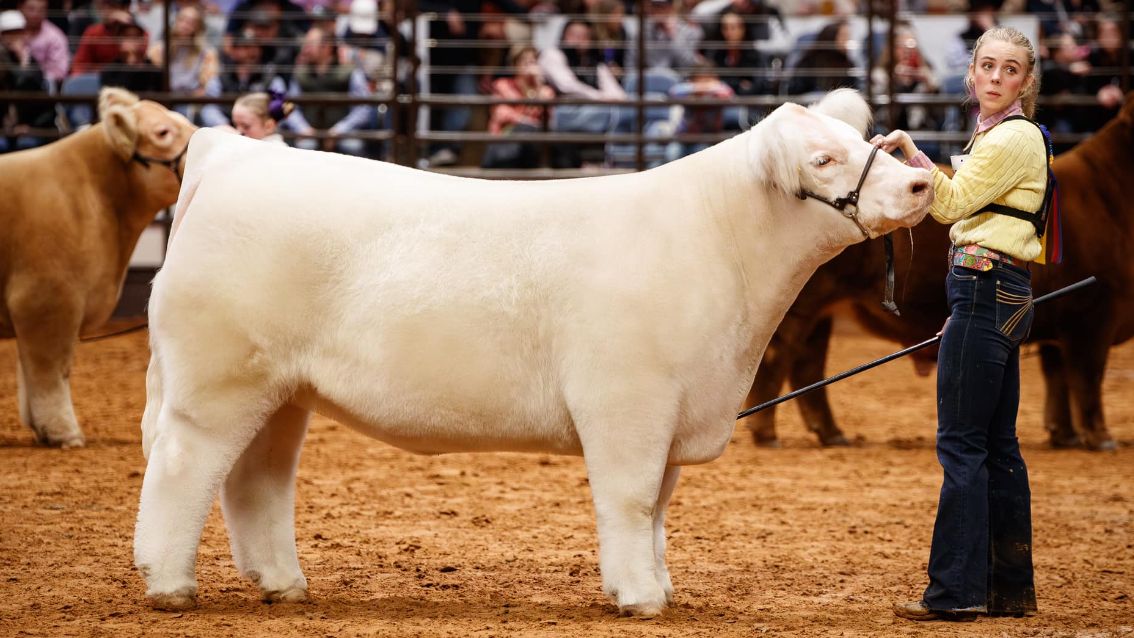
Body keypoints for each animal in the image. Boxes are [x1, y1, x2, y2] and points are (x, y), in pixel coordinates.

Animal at [743, 96, 1134, 453]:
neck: (1110, 194)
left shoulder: (1061, 321)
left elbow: (1058, 378)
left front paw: (1064, 433)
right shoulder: (1093, 315)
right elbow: (1087, 378)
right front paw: (1101, 437)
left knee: (807, 363)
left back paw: (830, 432)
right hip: (798, 305)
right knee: (778, 355)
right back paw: (766, 432)